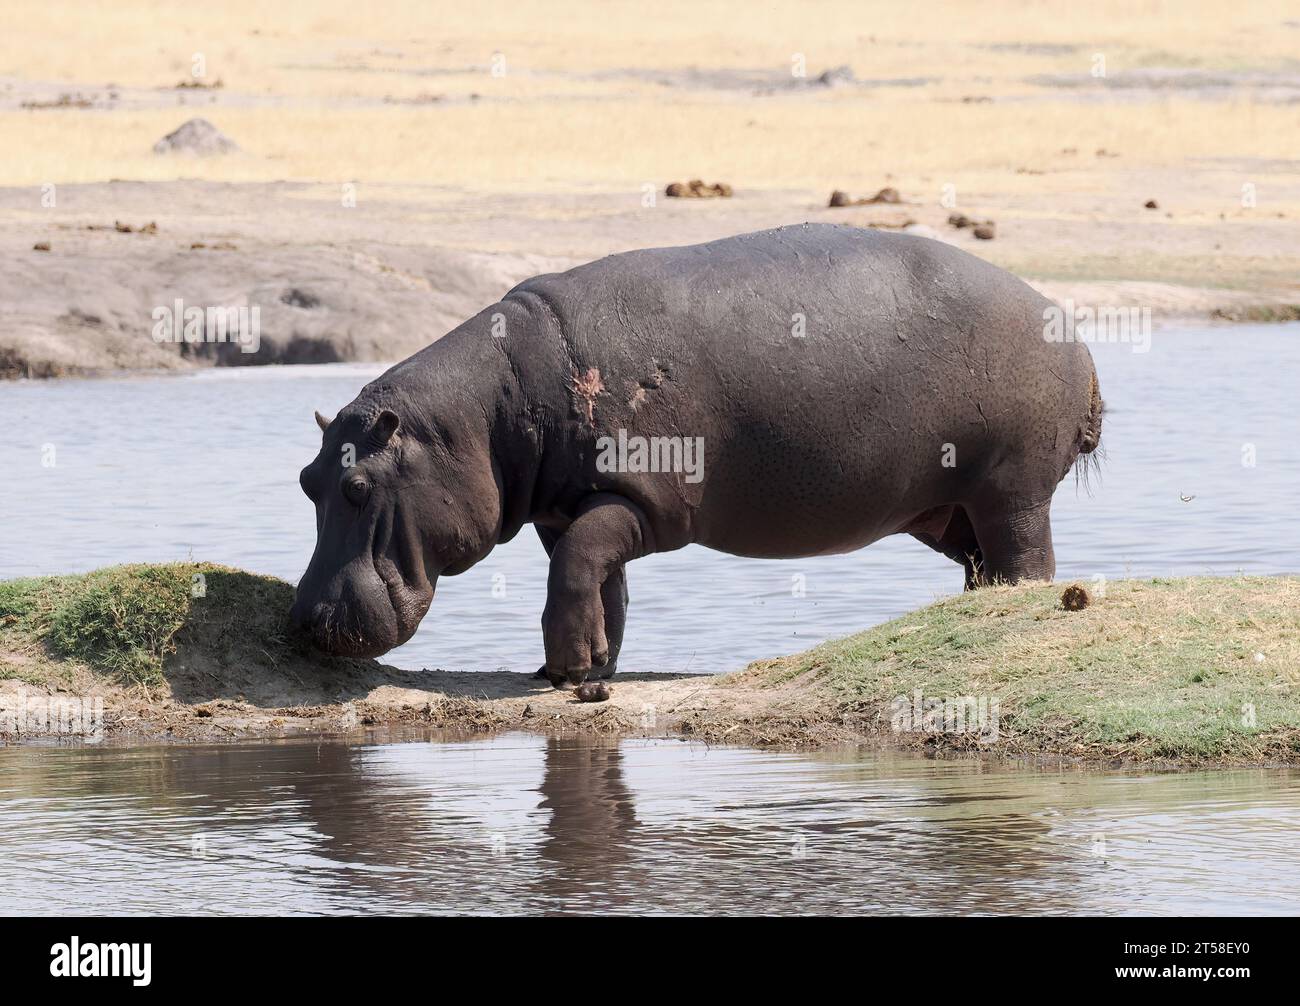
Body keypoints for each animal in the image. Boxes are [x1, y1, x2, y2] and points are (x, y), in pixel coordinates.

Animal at [291, 223, 1102, 687]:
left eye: (357, 486)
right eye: (305, 480)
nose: (303, 619)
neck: (476, 419)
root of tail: (1072, 328)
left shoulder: (644, 500)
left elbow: (579, 566)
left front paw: (570, 669)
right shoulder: (568, 507)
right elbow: (596, 582)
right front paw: (581, 670)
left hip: (1010, 488)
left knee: (1026, 557)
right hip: (946, 509)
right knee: (981, 564)